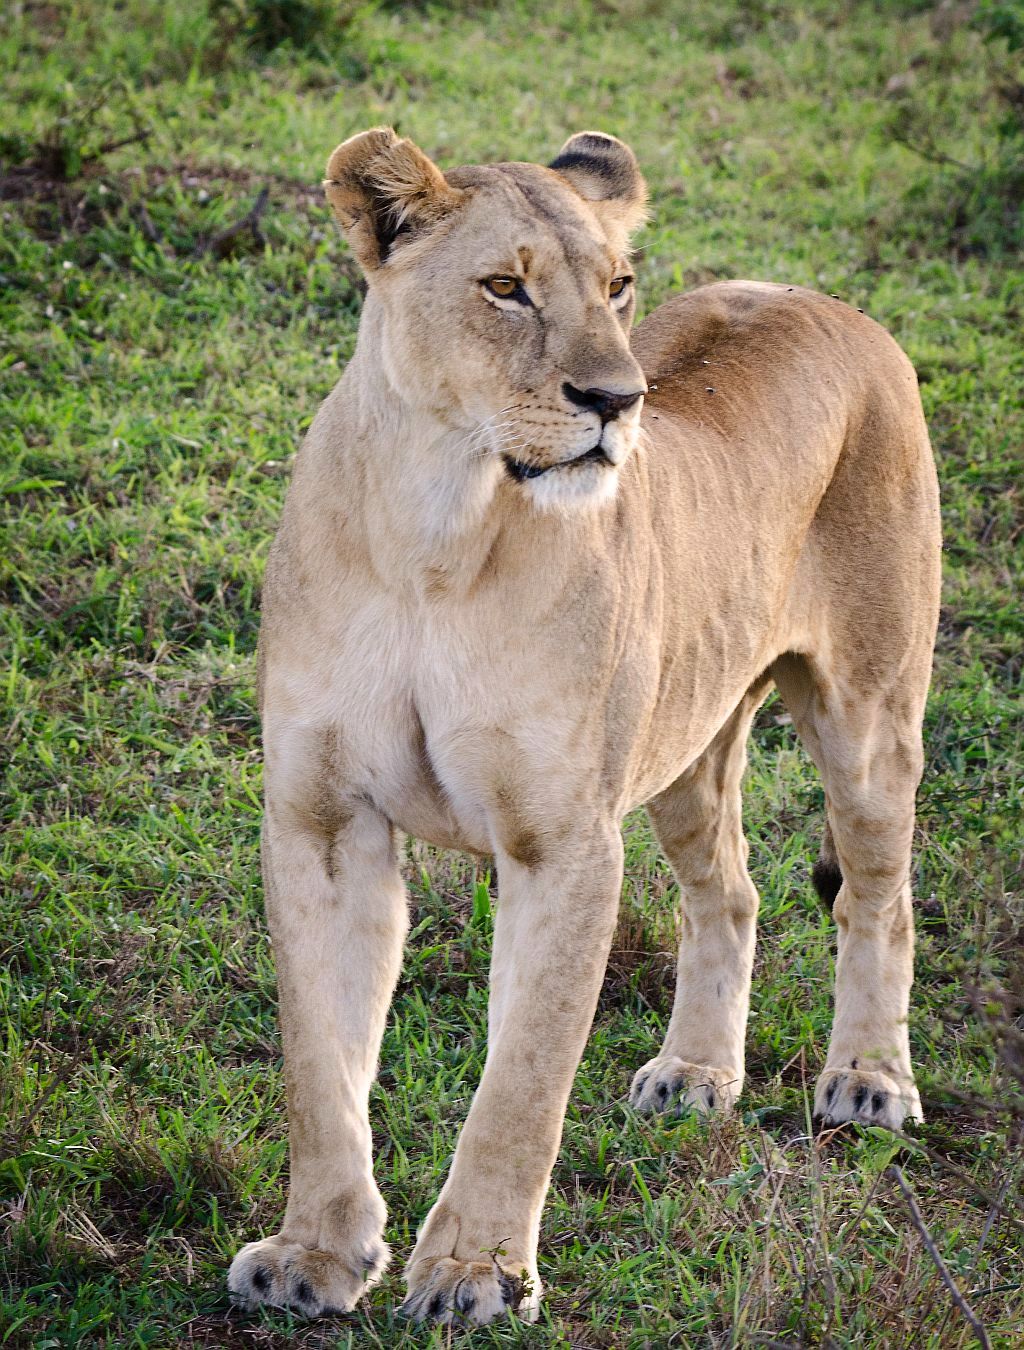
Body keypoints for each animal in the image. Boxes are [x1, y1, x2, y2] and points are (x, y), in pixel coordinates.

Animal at [227, 128, 941, 1326]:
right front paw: (313, 1255)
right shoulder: (321, 821)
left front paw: (474, 1274)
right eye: (504, 289)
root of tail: (824, 301)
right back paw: (695, 1074)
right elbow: (320, 1065)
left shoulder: (561, 842)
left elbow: (523, 1079)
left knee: (879, 900)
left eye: (617, 287)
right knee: (730, 892)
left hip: (870, 715)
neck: (433, 530)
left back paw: (869, 1080)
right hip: (690, 739)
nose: (618, 398)